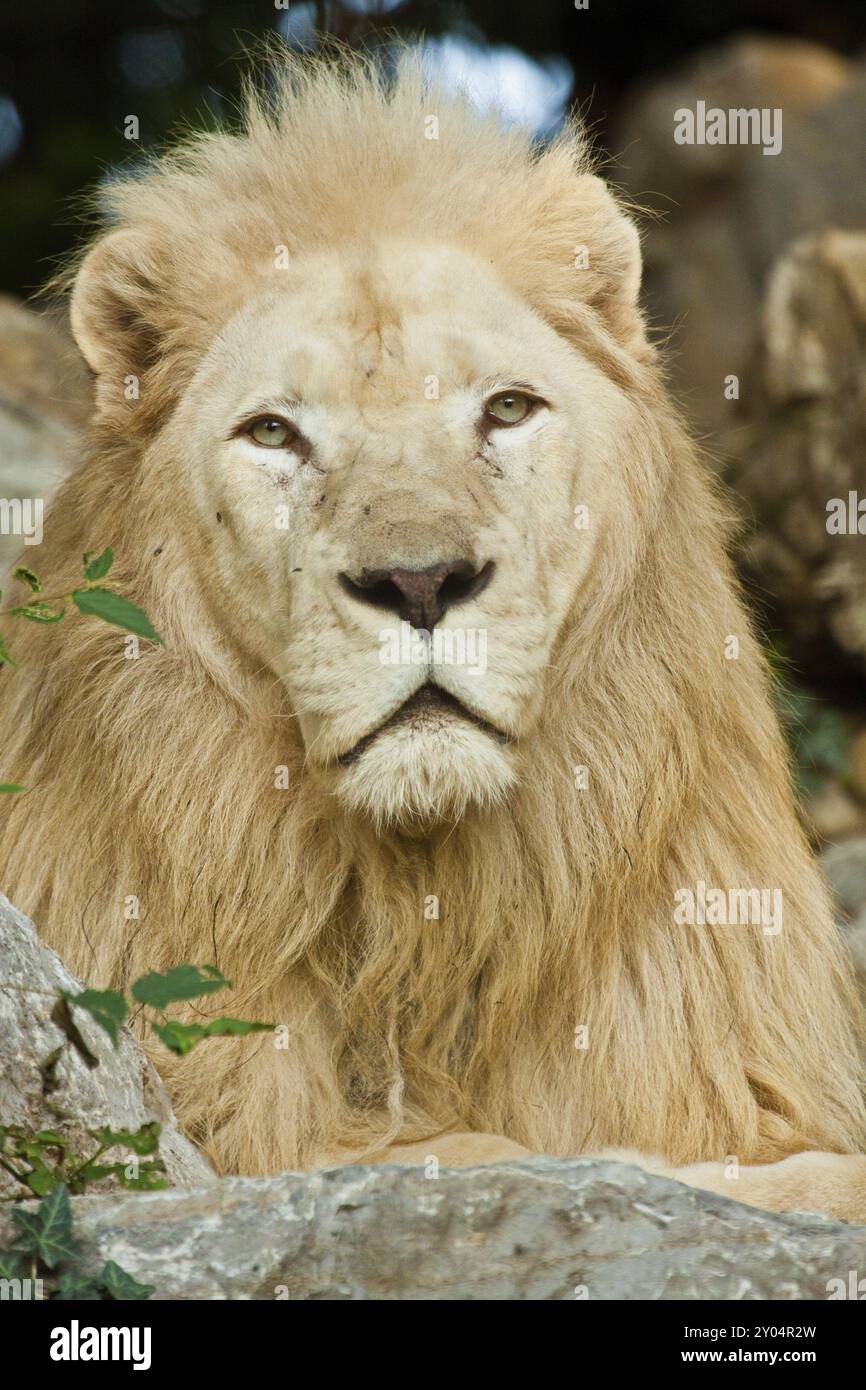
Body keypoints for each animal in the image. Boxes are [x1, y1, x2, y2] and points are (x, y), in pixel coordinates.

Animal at [2, 49, 865, 1223]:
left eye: (505, 410)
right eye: (273, 432)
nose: (419, 583)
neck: (425, 902)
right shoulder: (232, 1120)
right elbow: (512, 1159)